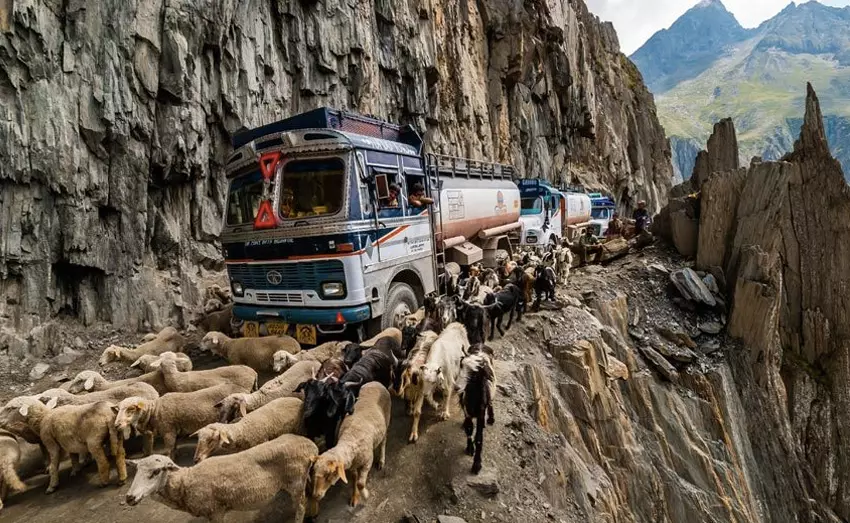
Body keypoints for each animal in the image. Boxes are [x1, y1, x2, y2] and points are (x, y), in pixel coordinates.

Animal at [114, 382, 243, 460]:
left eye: (131, 409)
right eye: (118, 409)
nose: (116, 425)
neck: (155, 410)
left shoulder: (168, 431)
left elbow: (169, 448)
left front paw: (170, 460)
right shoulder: (173, 430)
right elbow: (174, 445)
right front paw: (175, 455)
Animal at [121, 436, 314, 523]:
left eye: (156, 472)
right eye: (136, 471)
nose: (129, 498)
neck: (185, 482)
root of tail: (308, 444)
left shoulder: (215, 512)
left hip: (296, 481)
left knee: (301, 506)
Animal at [310, 382, 392, 510]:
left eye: (329, 475)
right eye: (314, 472)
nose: (315, 496)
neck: (349, 439)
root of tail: (376, 382)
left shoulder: (367, 461)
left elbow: (360, 483)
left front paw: (365, 495)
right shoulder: (353, 465)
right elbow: (354, 480)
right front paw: (355, 497)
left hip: (387, 418)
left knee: (384, 441)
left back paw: (381, 460)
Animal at [458, 344, 496, 474]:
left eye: (474, 373)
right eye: (461, 365)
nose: (457, 387)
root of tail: (480, 344)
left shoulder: (480, 412)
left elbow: (479, 438)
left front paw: (477, 465)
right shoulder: (466, 410)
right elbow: (469, 428)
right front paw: (470, 448)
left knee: (490, 402)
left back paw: (490, 419)